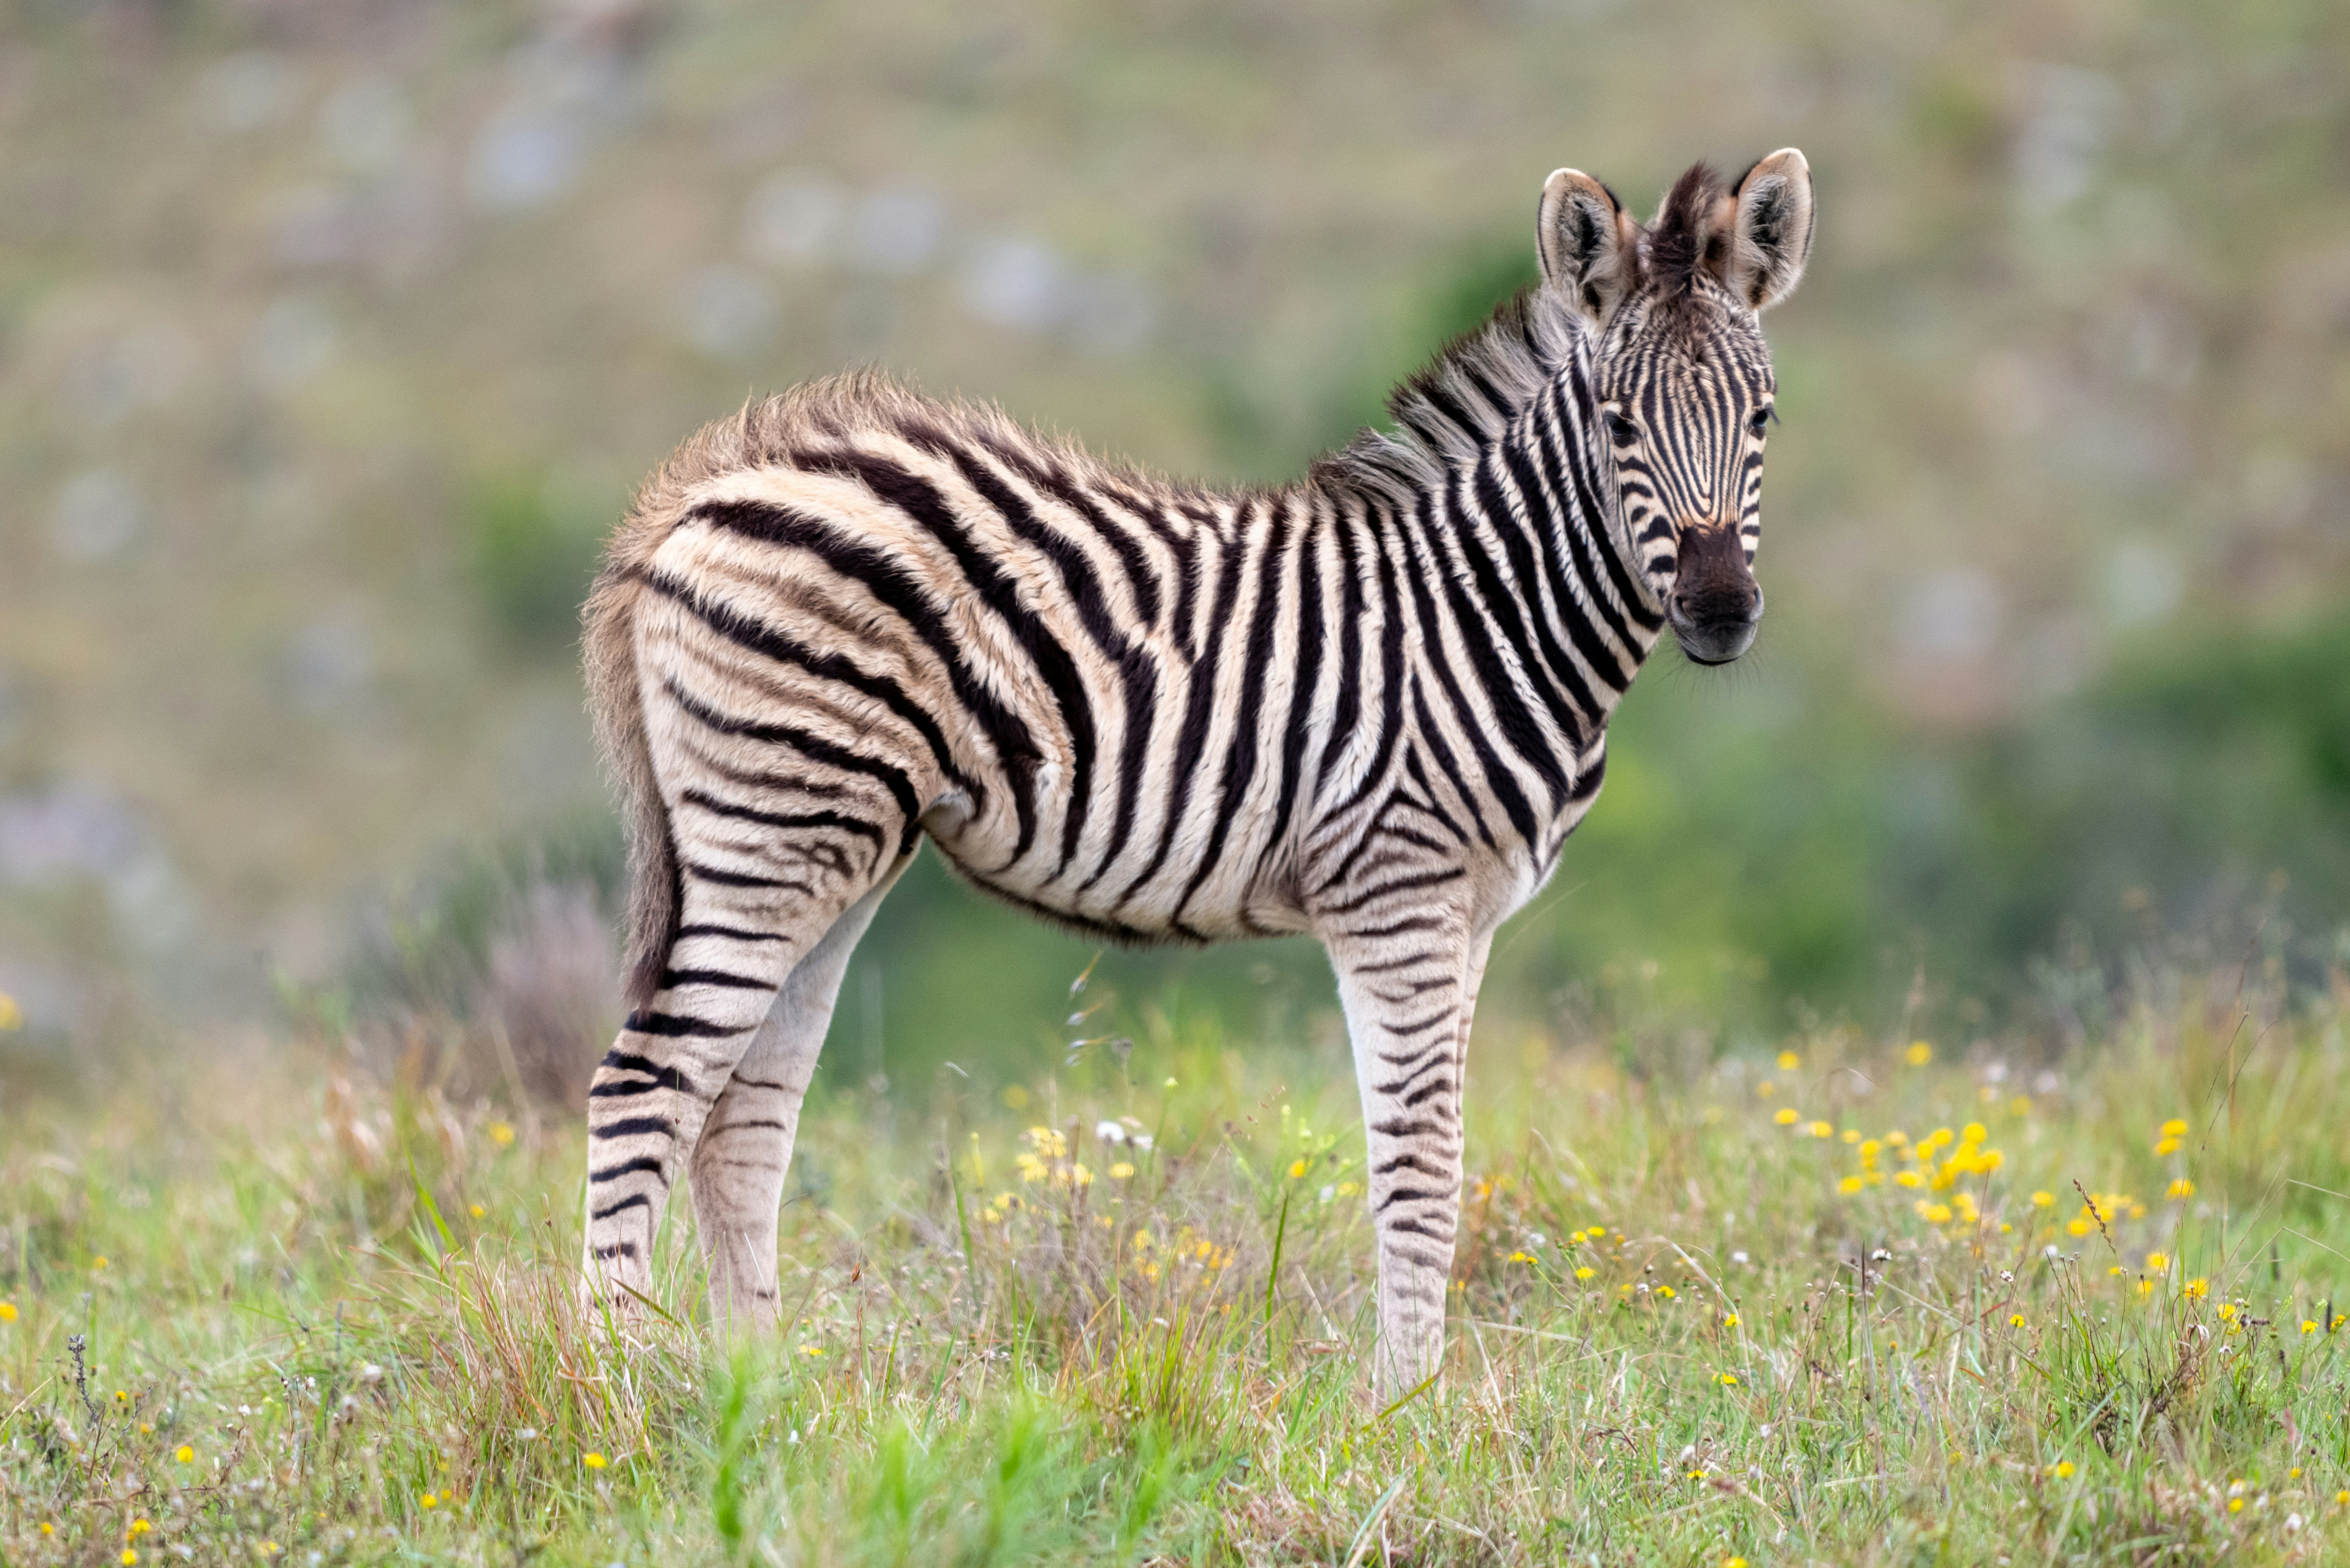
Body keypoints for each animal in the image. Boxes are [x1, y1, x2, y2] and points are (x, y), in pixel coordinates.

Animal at [579, 150, 1814, 1394]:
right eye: (1617, 422)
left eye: (1762, 416)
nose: (1718, 613)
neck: (1485, 609)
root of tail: (699, 487)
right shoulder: (1395, 890)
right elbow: (1418, 1163)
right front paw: (1403, 1406)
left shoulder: (1470, 915)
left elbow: (1444, 1155)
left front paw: (1420, 1393)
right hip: (773, 831)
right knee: (644, 1088)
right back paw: (622, 1386)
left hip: (838, 850)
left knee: (739, 1117)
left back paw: (761, 1393)